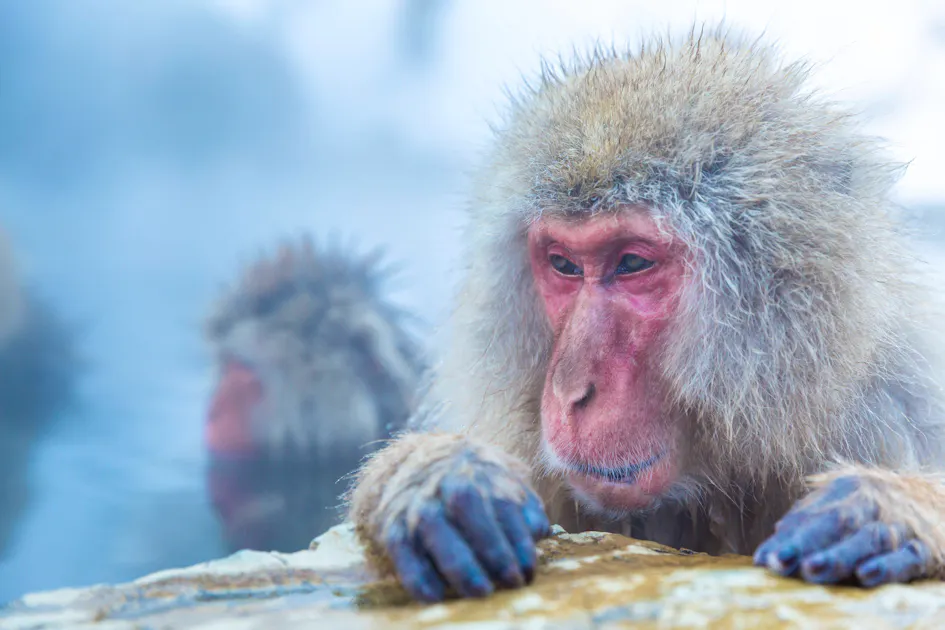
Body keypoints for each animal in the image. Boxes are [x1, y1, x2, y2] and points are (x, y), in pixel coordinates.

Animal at [345, 25, 945, 603]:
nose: (569, 390)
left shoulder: (895, 410)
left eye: (632, 263)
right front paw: (437, 482)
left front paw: (891, 506)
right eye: (564, 264)